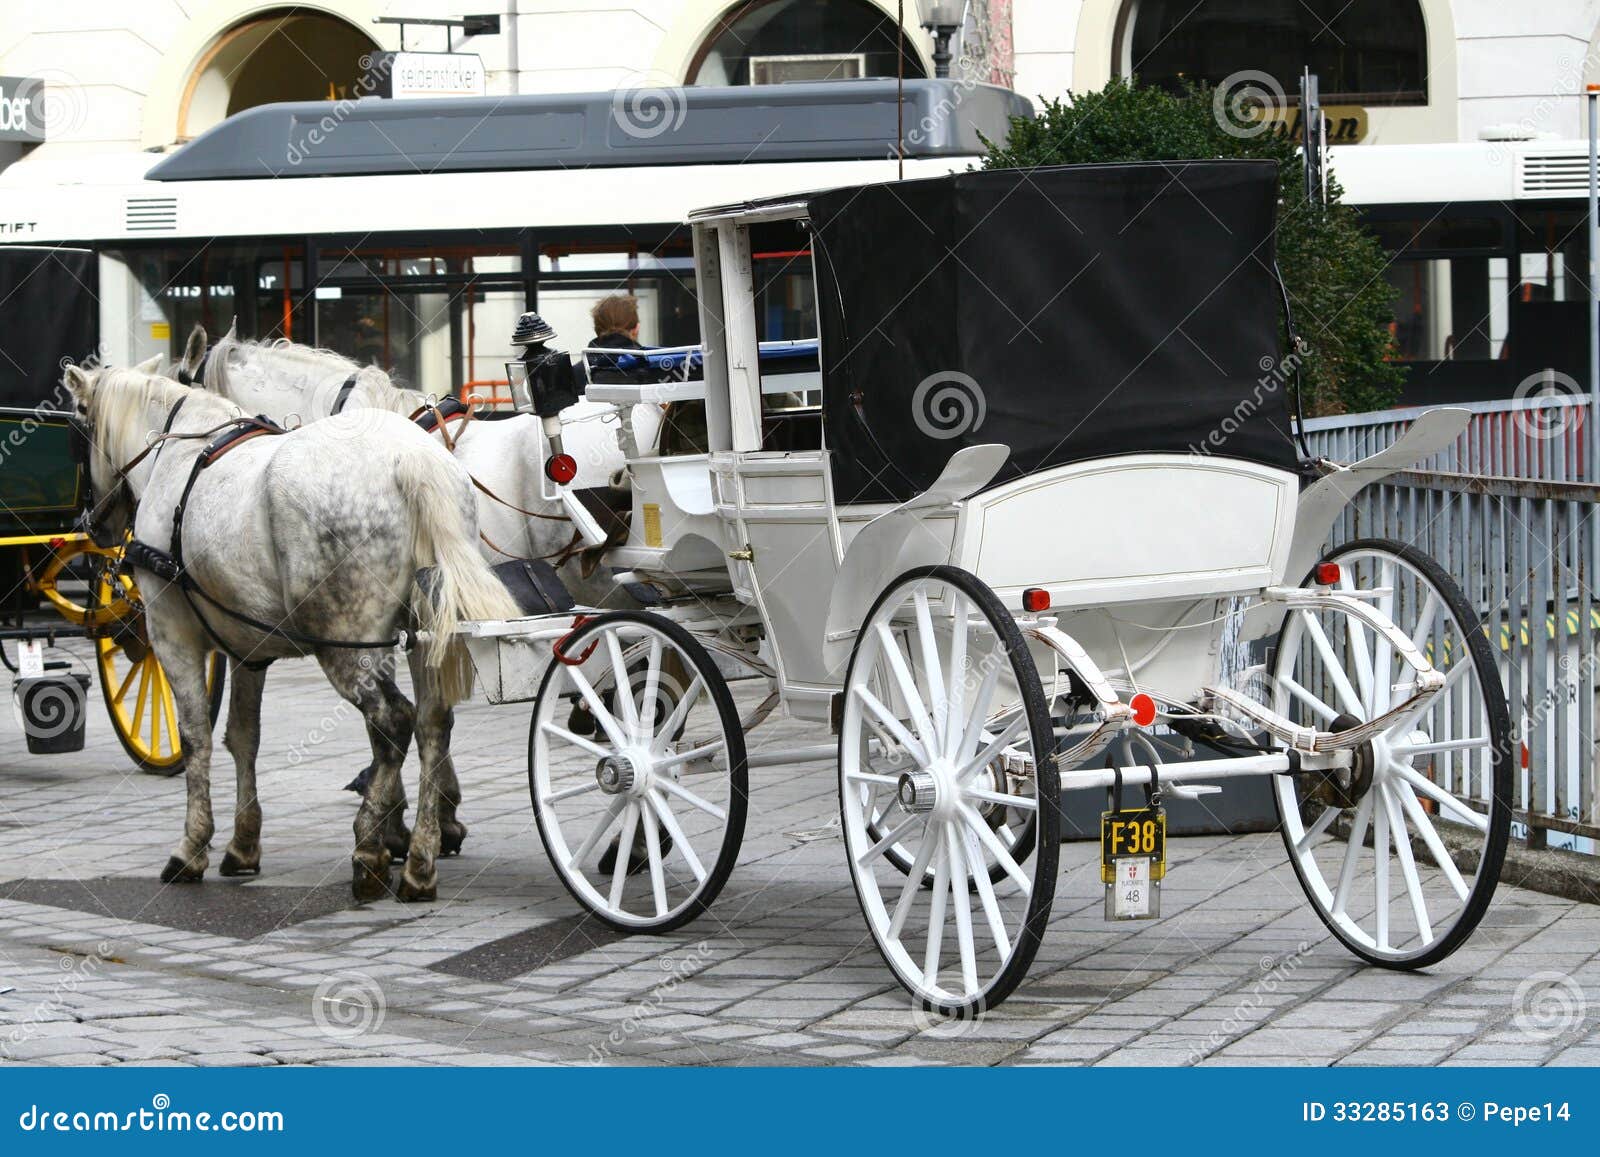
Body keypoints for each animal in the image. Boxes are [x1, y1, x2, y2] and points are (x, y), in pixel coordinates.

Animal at [63, 362, 520, 902]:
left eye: (78, 429)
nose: (95, 526)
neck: (179, 454)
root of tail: (410, 458)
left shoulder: (172, 634)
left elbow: (195, 736)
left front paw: (192, 846)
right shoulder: (248, 647)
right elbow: (243, 737)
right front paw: (243, 844)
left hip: (347, 643)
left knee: (392, 721)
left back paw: (369, 848)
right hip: (423, 638)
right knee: (431, 726)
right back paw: (420, 861)